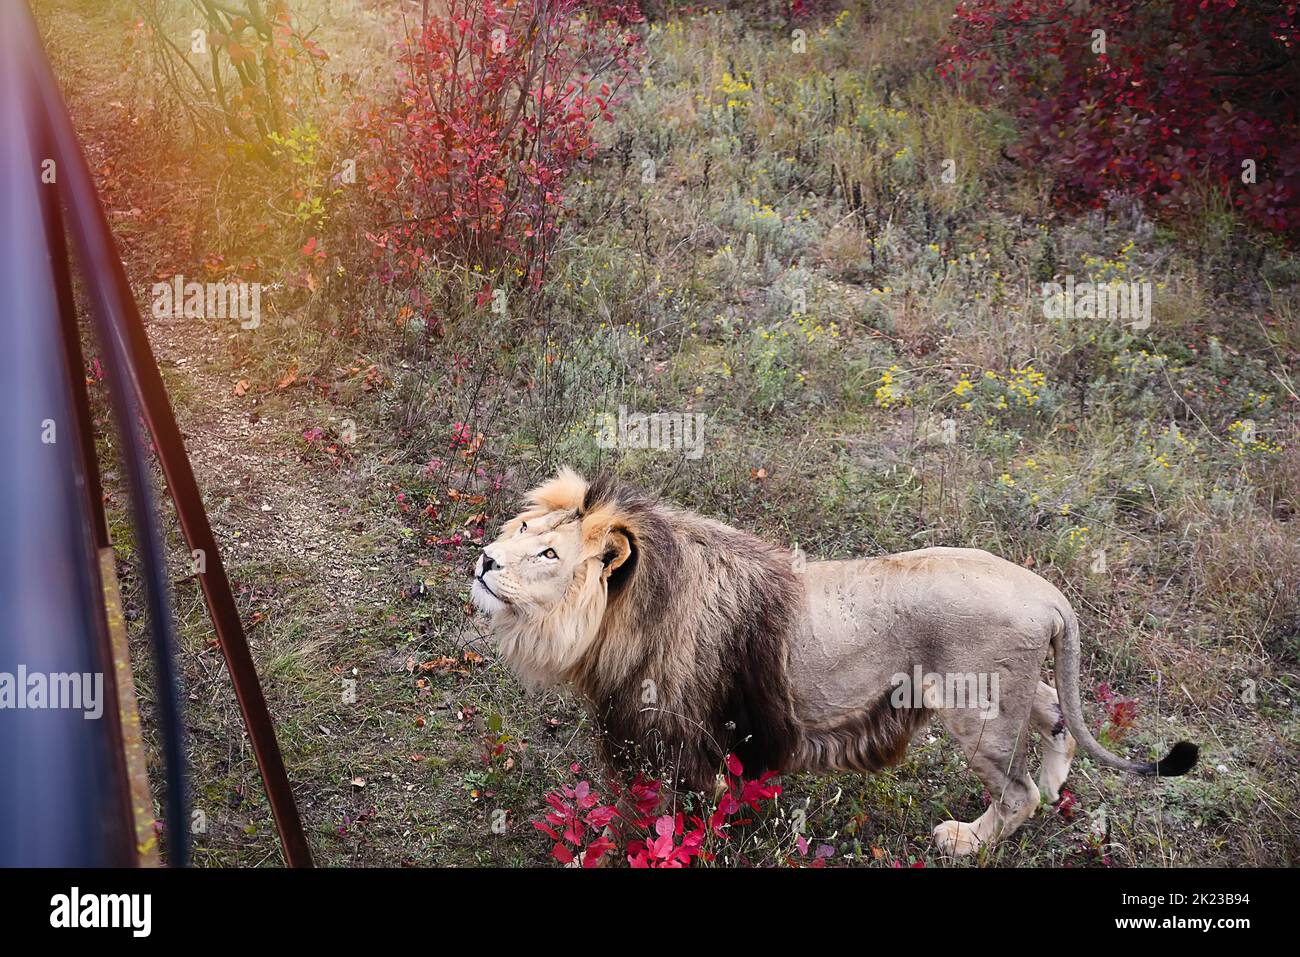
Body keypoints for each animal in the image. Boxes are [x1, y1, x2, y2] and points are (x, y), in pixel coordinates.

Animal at [470, 468, 1198, 856]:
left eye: (548, 554)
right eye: (524, 528)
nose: (482, 559)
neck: (619, 615)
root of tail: (1048, 593)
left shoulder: (674, 735)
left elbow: (662, 815)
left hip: (977, 709)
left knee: (1016, 790)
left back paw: (966, 838)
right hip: (1009, 690)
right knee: (1054, 716)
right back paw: (1053, 786)